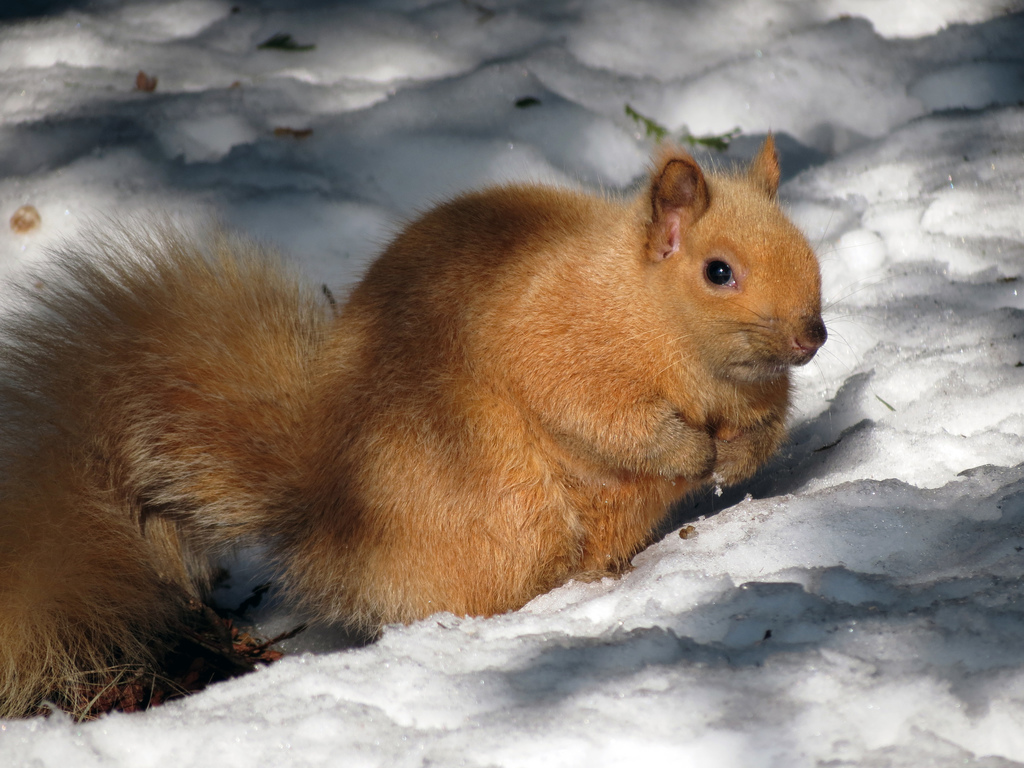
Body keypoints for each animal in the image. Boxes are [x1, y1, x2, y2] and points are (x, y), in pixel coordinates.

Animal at [0, 138, 825, 717]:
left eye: (809, 249)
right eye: (718, 271)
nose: (813, 337)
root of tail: (330, 515)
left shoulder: (755, 393)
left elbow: (763, 428)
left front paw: (735, 459)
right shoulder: (561, 343)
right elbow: (599, 416)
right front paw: (688, 449)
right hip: (497, 506)